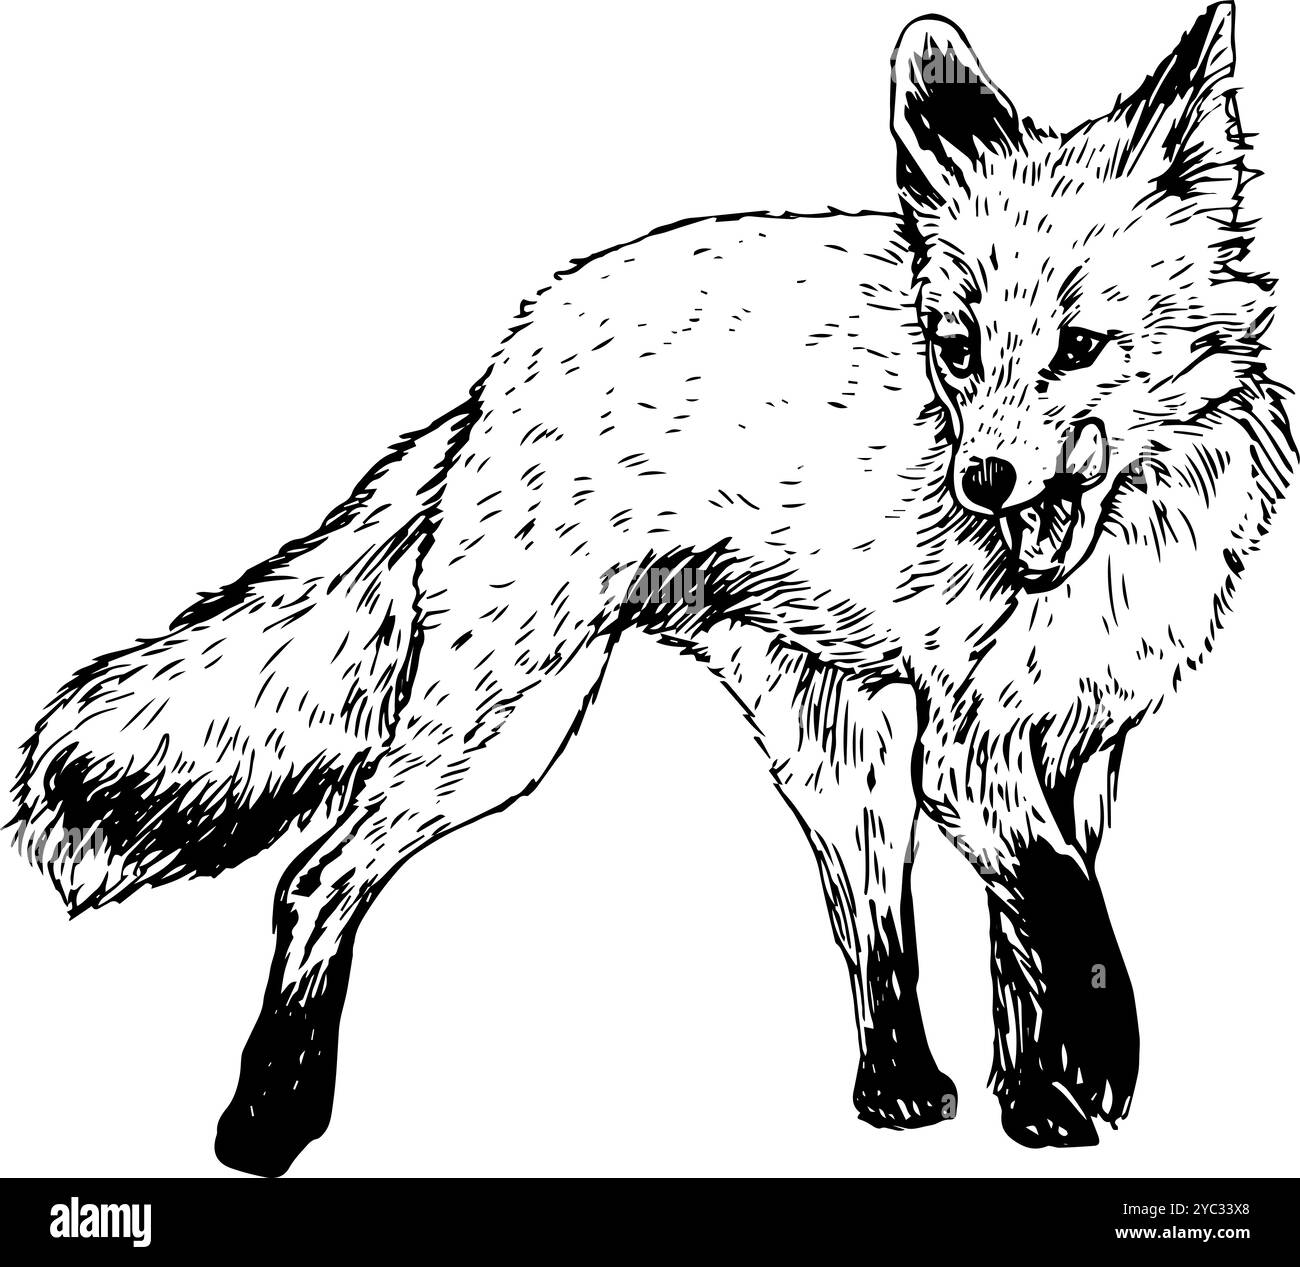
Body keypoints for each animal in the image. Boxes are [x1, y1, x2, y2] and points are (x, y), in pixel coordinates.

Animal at [12, 2, 1292, 1176]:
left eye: (1077, 346)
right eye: (958, 350)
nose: (980, 479)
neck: (1102, 561)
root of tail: (505, 356)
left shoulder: (1072, 750)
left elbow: (1024, 953)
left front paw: (1036, 1105)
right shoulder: (970, 758)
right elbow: (1069, 921)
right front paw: (1100, 1062)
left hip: (834, 758)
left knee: (870, 924)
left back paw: (895, 1085)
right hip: (506, 728)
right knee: (315, 875)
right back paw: (268, 1114)